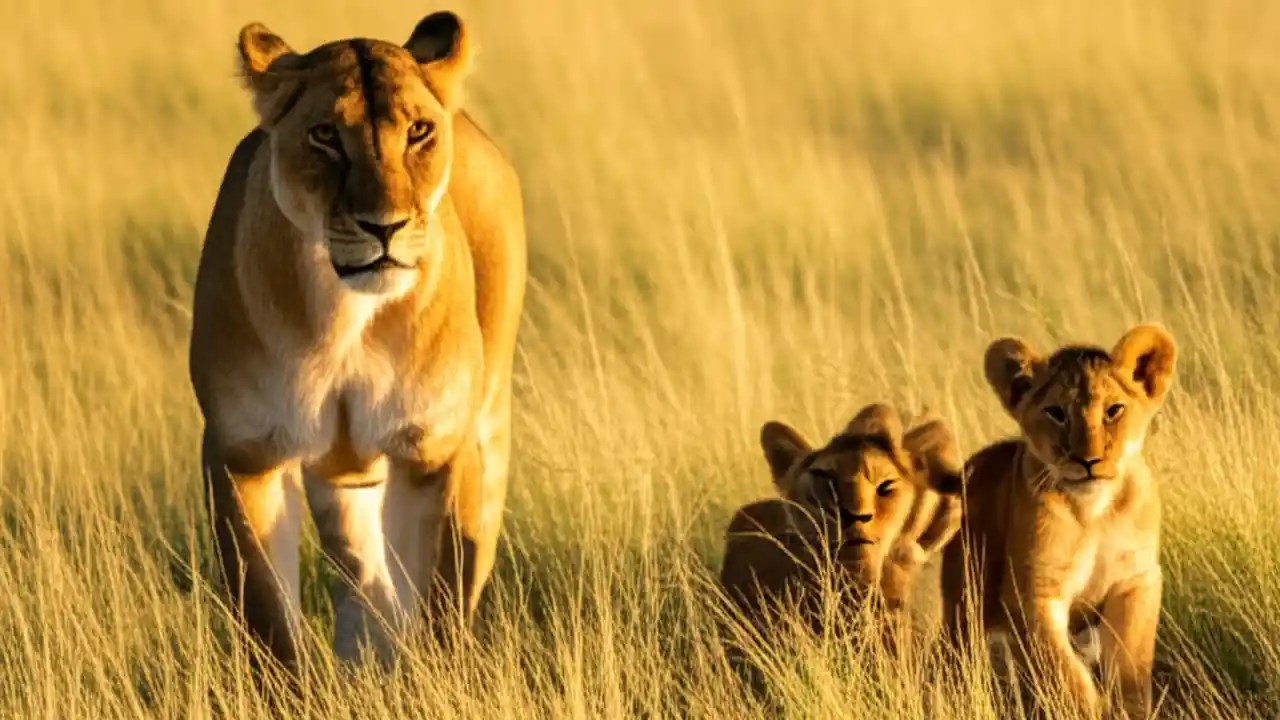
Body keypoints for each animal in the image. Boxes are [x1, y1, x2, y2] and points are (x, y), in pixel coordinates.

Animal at [189, 12, 526, 669]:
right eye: (324, 135)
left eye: (418, 131)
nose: (384, 226)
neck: (348, 319)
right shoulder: (246, 453)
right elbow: (269, 623)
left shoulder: (433, 448)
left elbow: (443, 601)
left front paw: (437, 678)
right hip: (342, 476)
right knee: (363, 566)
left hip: (488, 425)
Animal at [940, 324, 1176, 718]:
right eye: (1056, 413)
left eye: (1114, 410)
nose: (1088, 461)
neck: (1092, 511)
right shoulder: (1034, 594)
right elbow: (1065, 673)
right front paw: (1089, 707)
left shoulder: (1136, 579)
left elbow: (1130, 664)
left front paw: (1125, 707)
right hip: (965, 607)